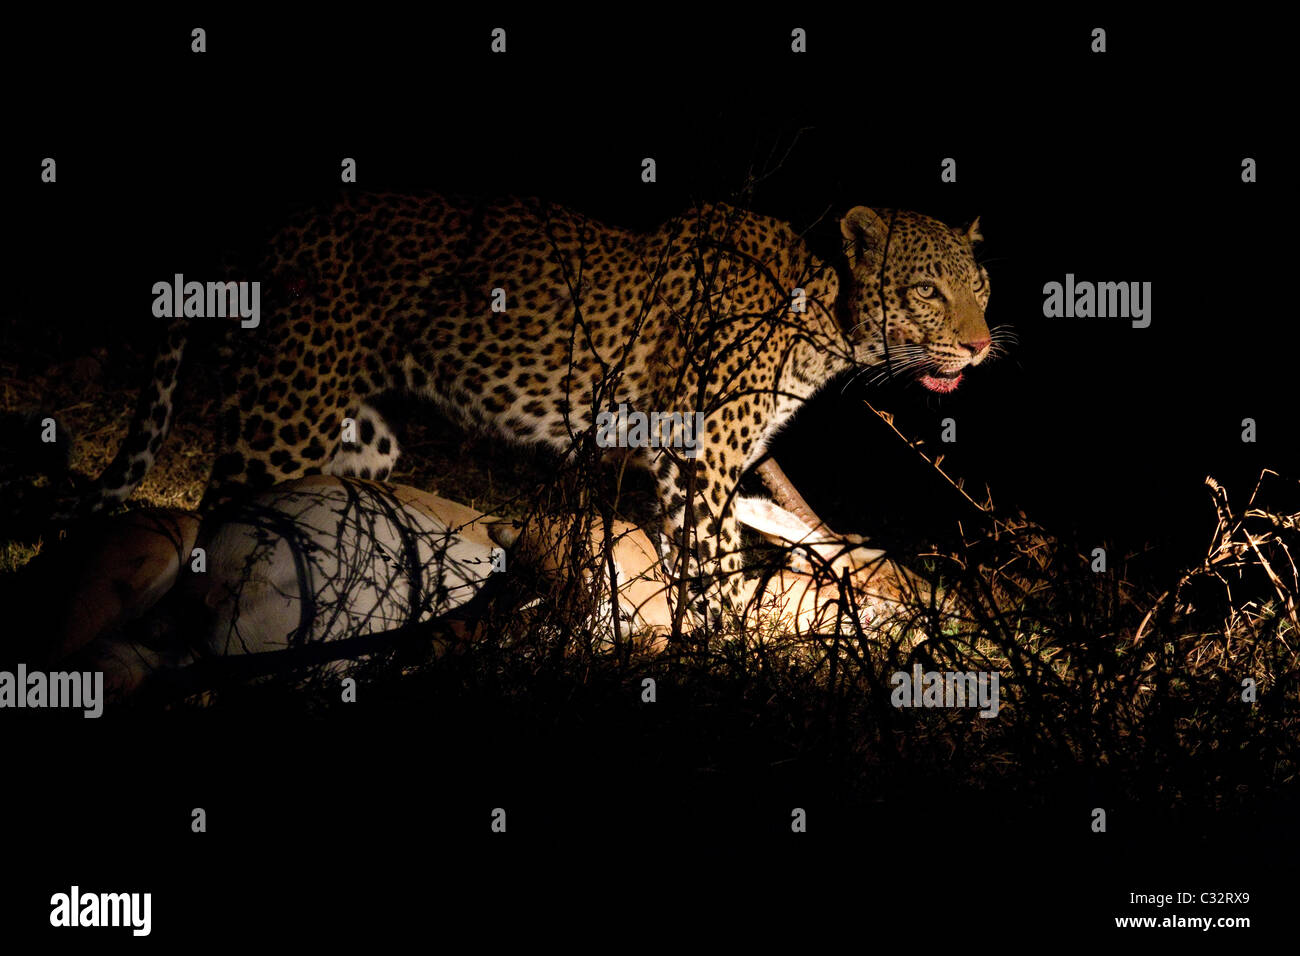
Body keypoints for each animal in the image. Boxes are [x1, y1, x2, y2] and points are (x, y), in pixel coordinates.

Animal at [57, 193, 997, 628]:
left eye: (980, 286)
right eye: (927, 289)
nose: (985, 345)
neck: (826, 322)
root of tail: (272, 231)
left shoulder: (692, 466)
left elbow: (699, 558)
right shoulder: (702, 458)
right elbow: (718, 569)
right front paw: (733, 658)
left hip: (362, 440)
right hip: (282, 413)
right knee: (219, 521)